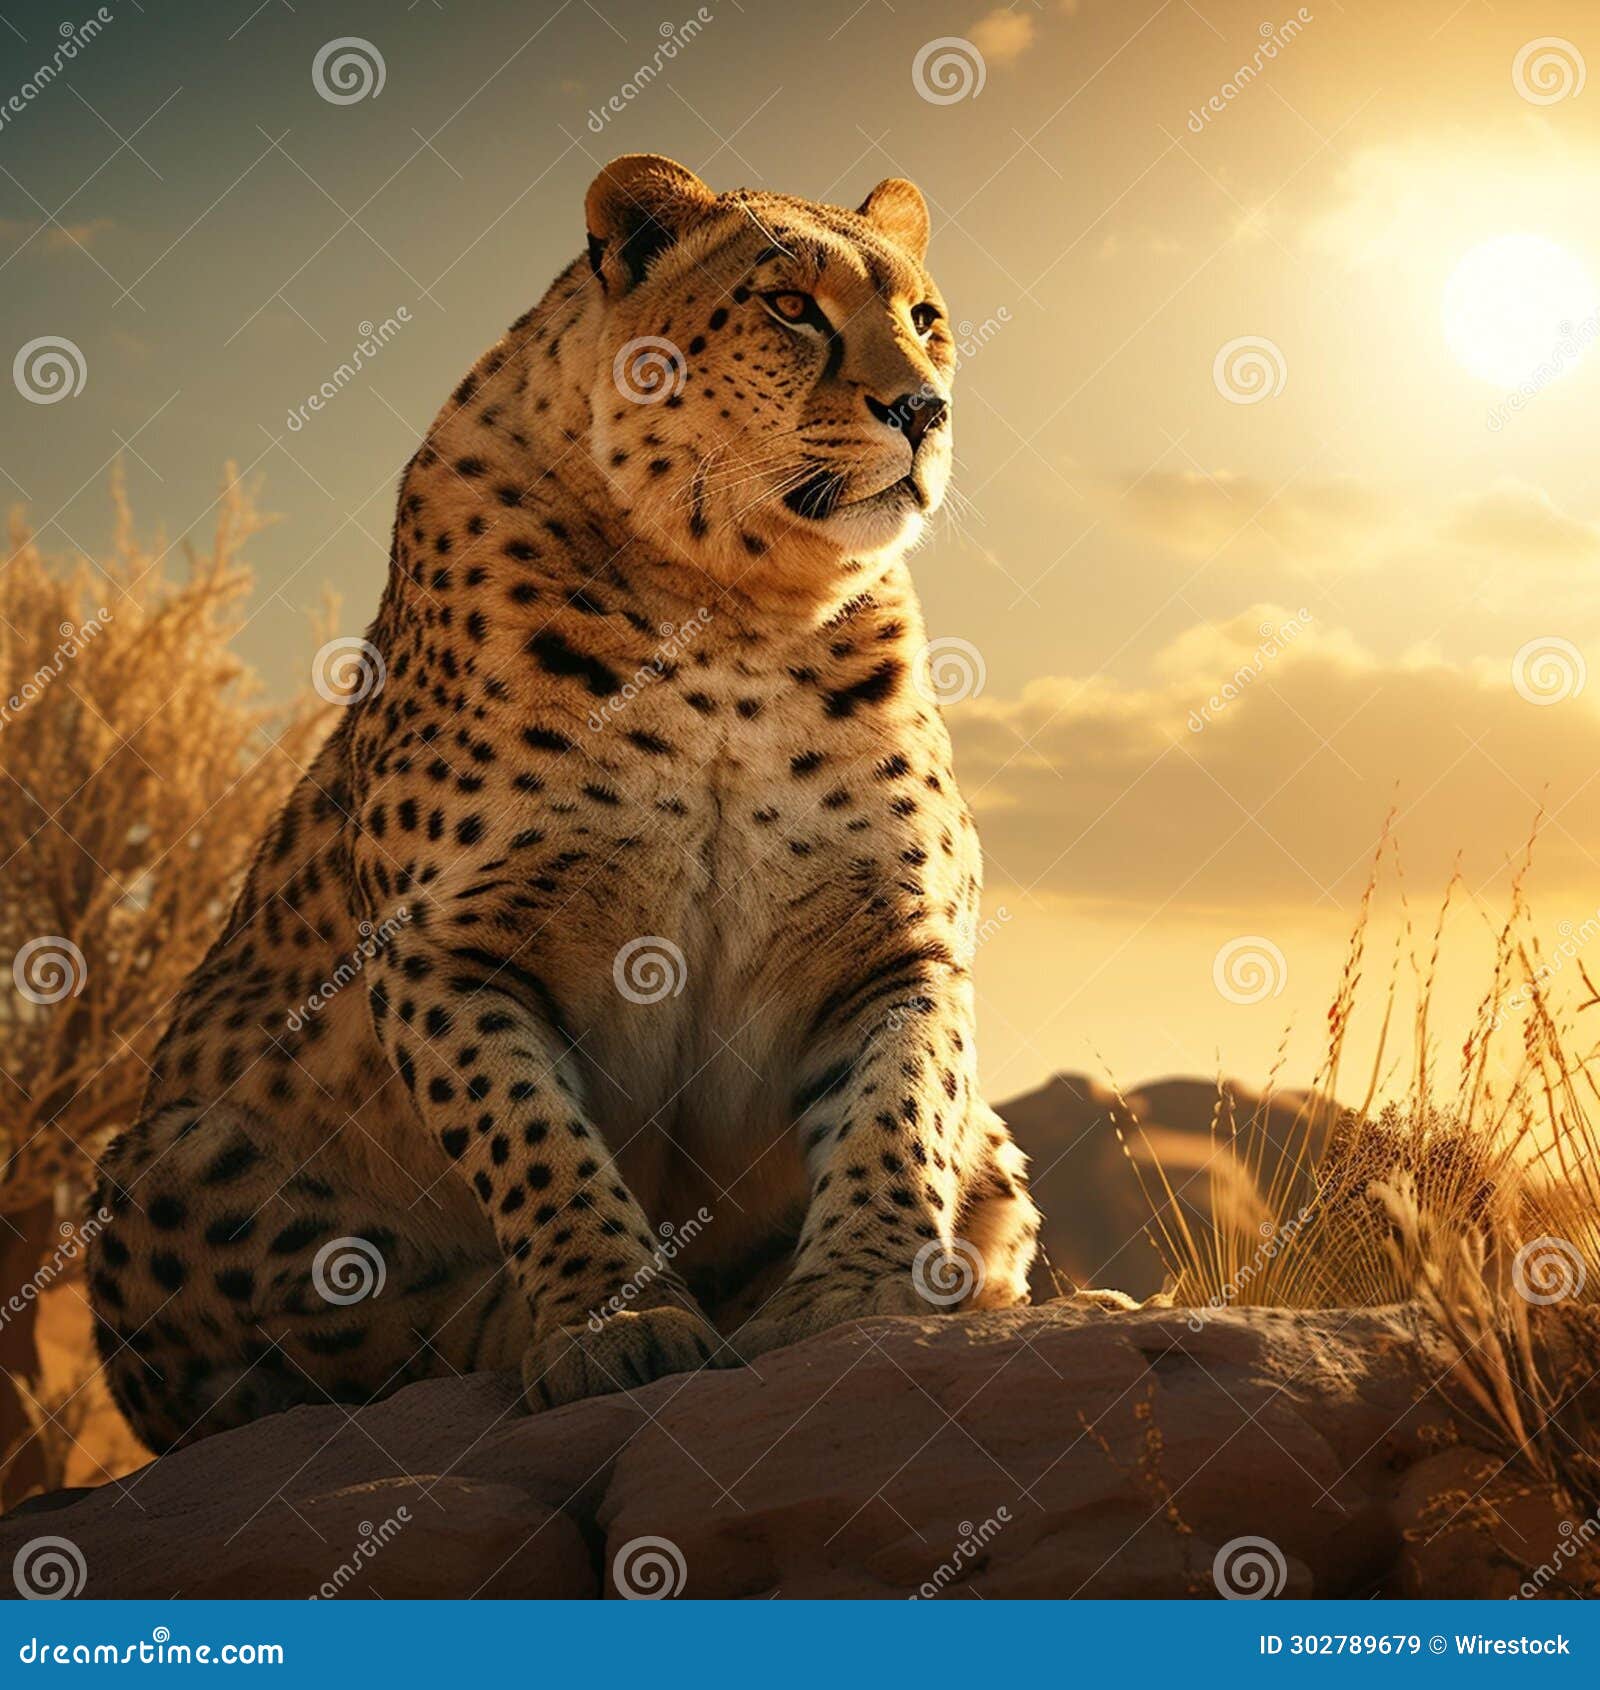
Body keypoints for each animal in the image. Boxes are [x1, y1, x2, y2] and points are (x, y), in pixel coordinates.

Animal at [87, 154, 1041, 1454]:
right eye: (791, 306)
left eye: (927, 318)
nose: (923, 410)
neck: (735, 616)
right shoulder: (451, 950)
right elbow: (534, 1142)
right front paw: (615, 1324)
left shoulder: (894, 947)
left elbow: (901, 1107)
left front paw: (860, 1291)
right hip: (179, 1149)